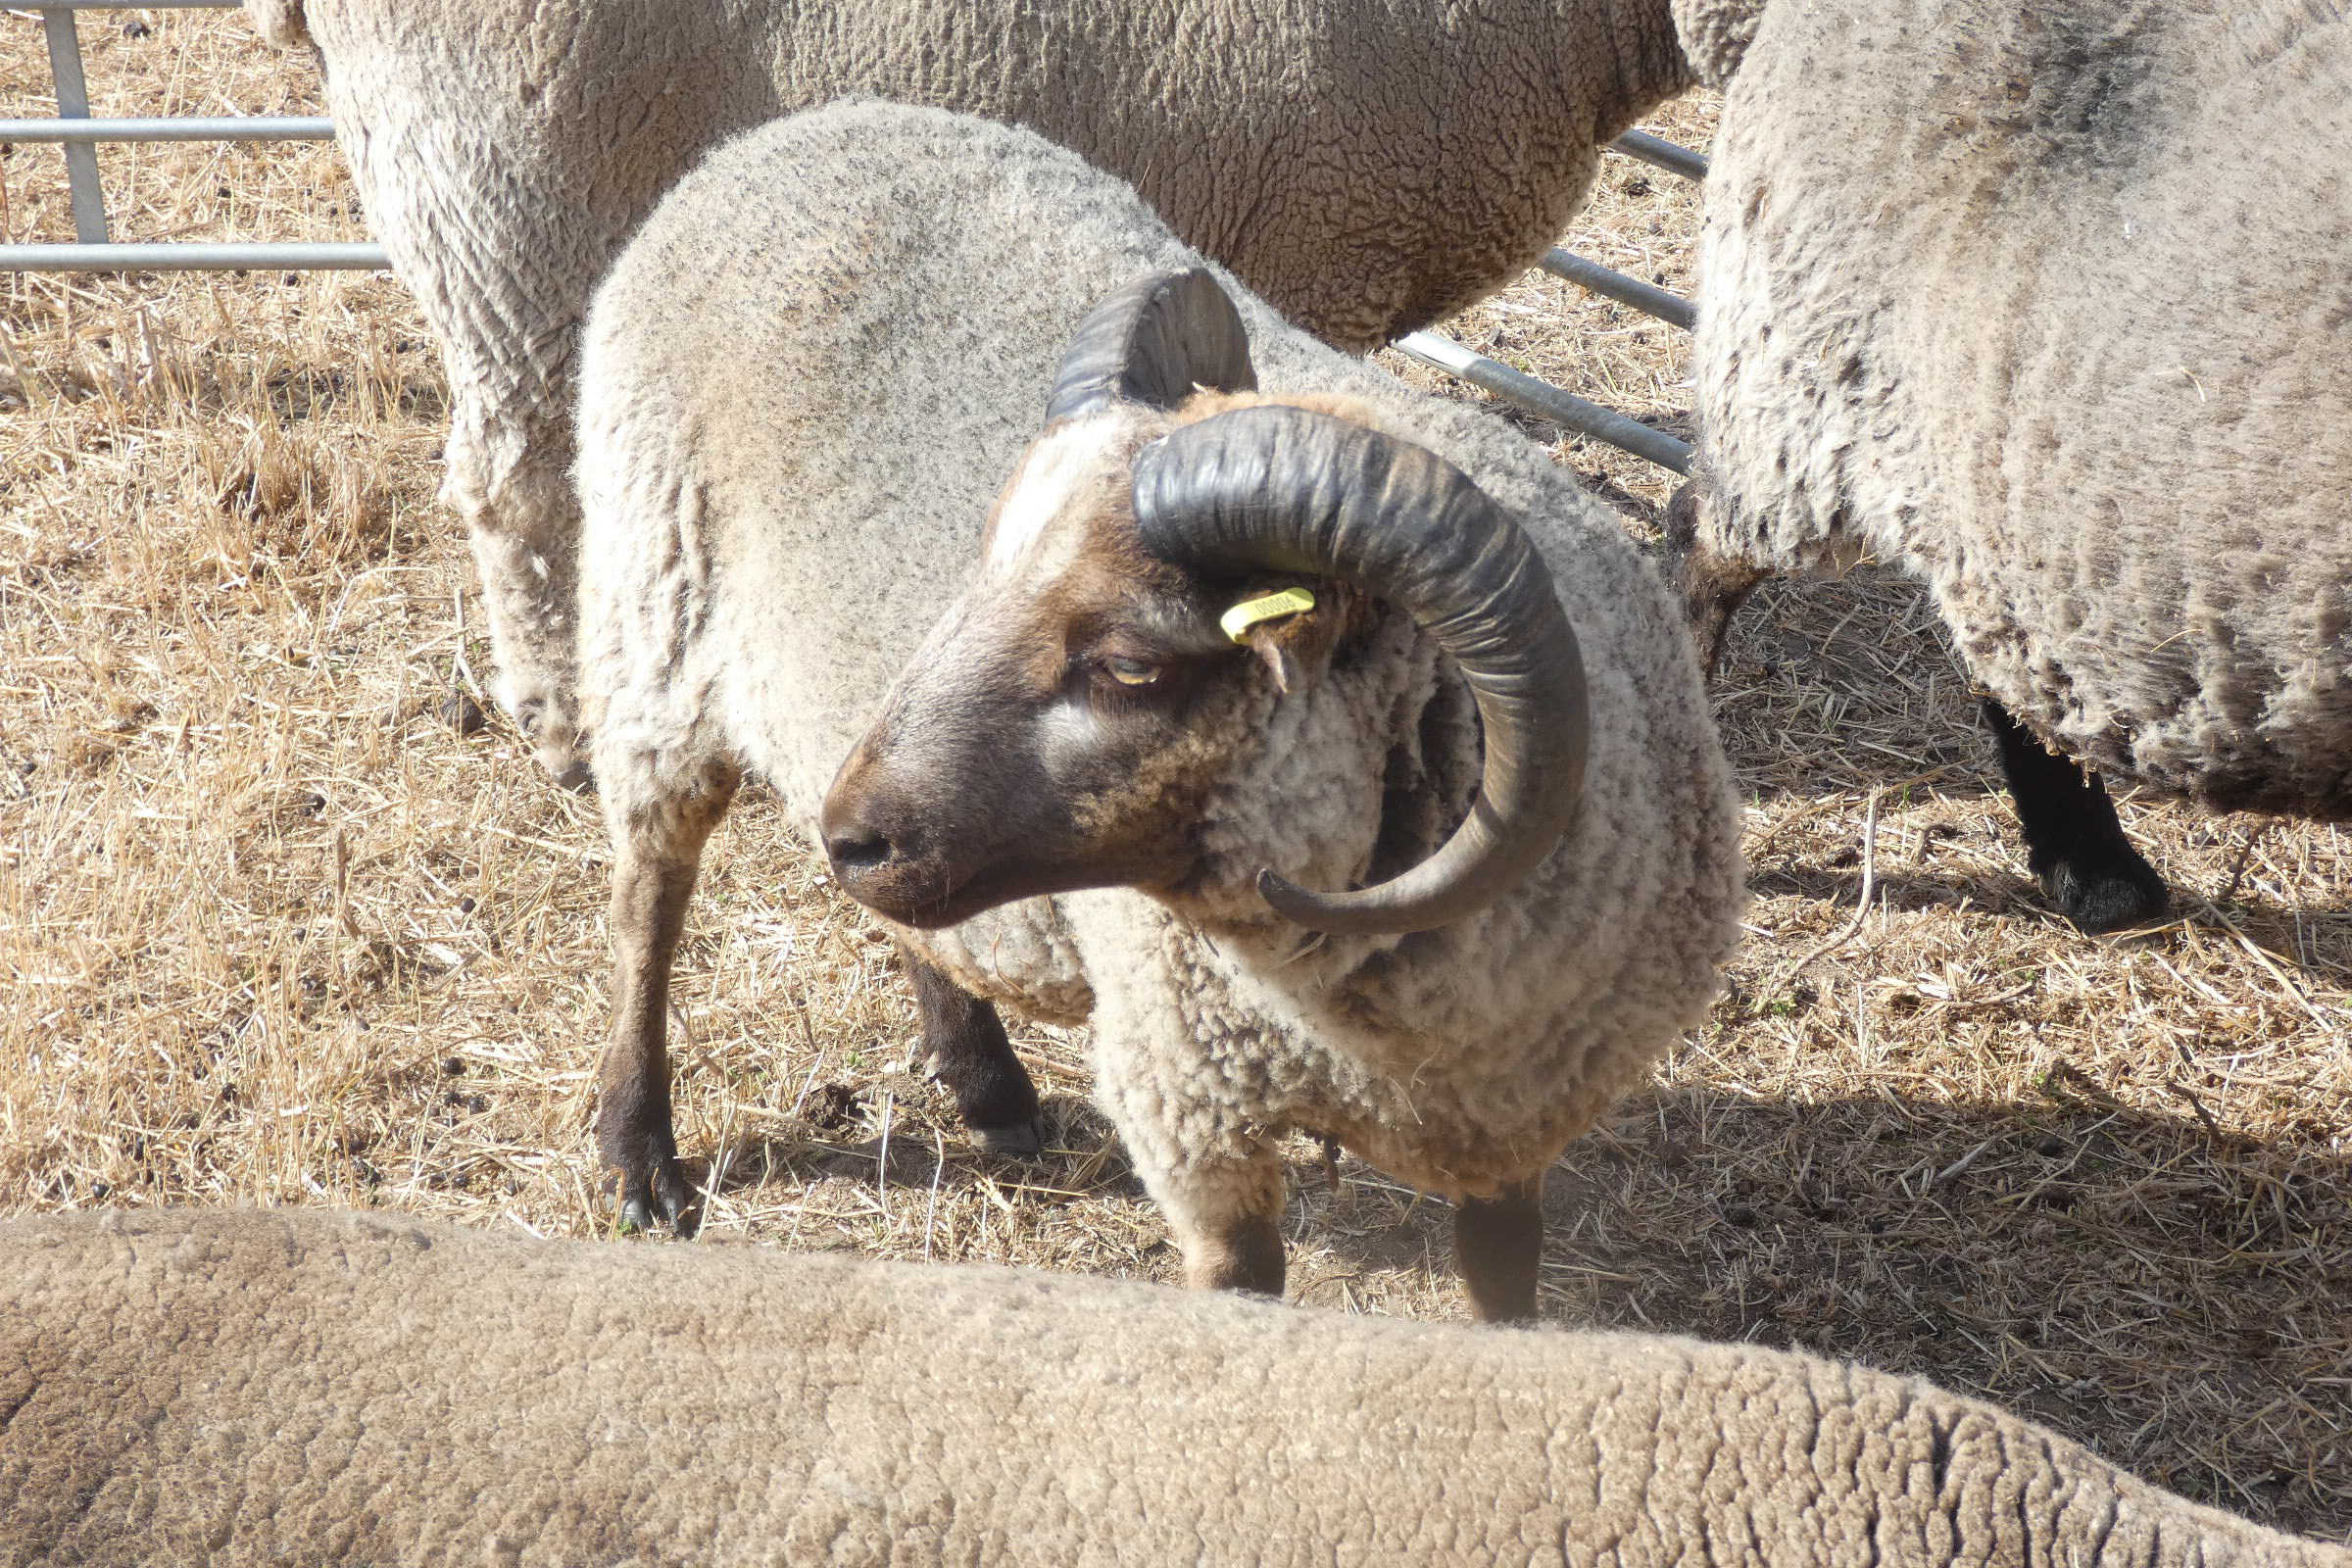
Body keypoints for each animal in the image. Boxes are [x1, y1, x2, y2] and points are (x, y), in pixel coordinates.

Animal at [574, 101, 1743, 1321]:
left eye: (1130, 662)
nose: (853, 836)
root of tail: (786, 131)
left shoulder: (1518, 1122)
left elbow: (1505, 1283)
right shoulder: (1192, 1113)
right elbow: (1240, 1285)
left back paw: (989, 1088)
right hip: (653, 632)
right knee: (649, 899)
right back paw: (639, 1159)